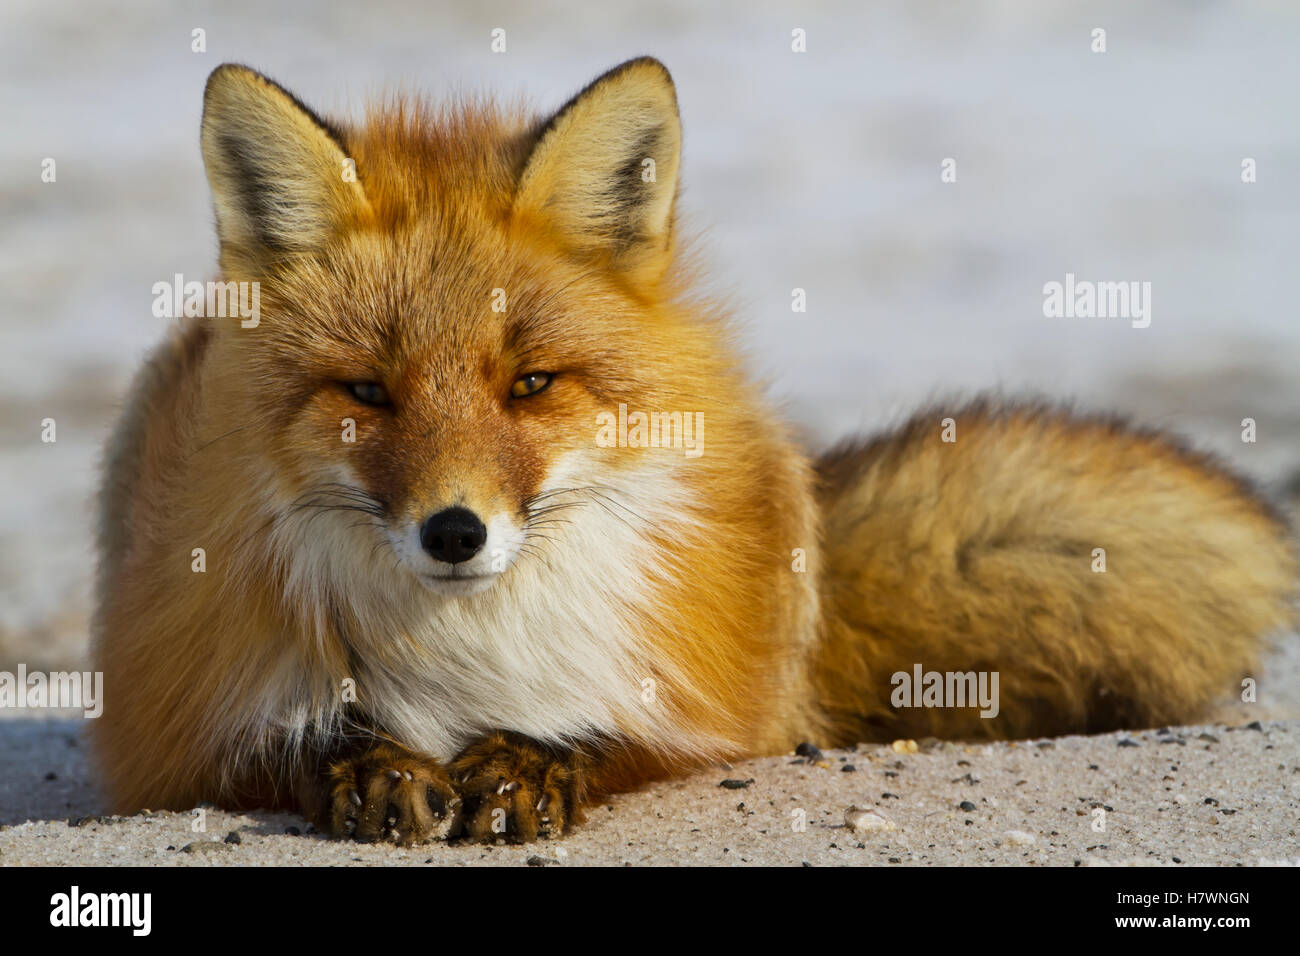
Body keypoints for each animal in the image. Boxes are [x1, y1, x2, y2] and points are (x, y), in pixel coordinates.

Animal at [92, 57, 1297, 845]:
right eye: (367, 392)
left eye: (530, 384)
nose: (455, 531)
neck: (462, 652)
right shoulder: (168, 722)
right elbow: (288, 743)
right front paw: (369, 765)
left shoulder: (705, 705)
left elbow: (626, 735)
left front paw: (531, 760)